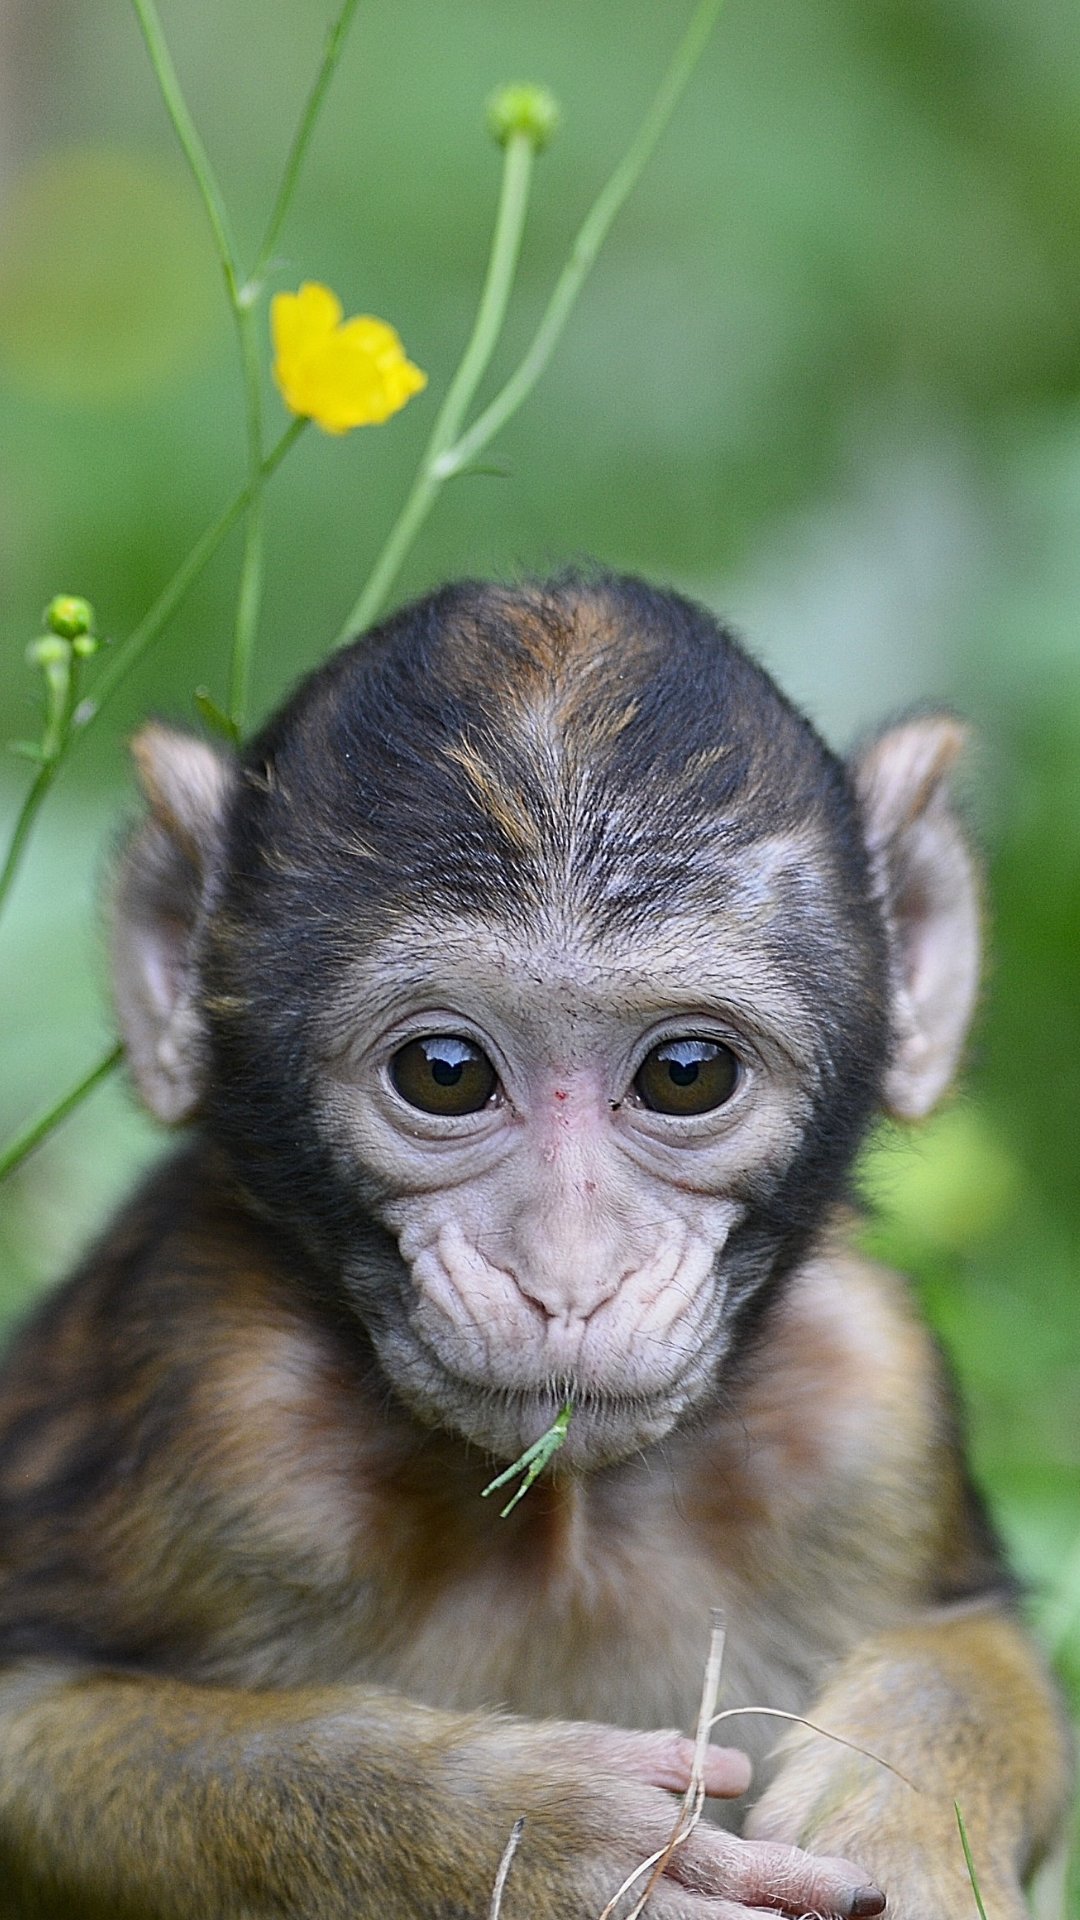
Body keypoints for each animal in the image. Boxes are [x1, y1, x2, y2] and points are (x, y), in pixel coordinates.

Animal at [0, 571, 1071, 1920]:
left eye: (686, 1072)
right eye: (444, 1073)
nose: (570, 1282)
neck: (573, 1516)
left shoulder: (873, 1401)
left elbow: (979, 1642)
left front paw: (908, 1817)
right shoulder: (205, 1396)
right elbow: (35, 1737)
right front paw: (537, 1832)